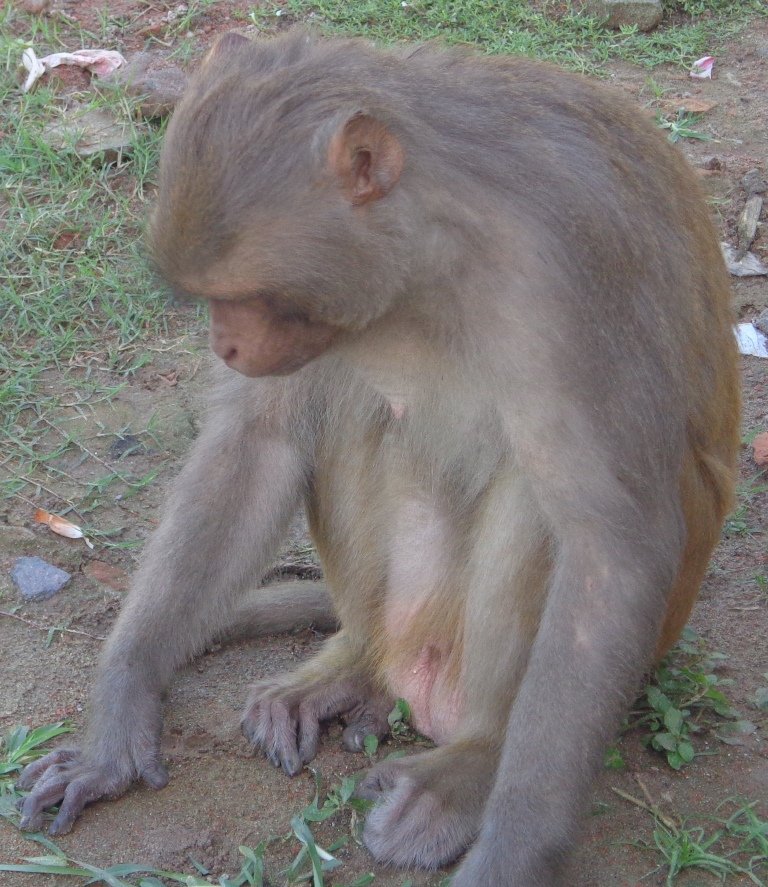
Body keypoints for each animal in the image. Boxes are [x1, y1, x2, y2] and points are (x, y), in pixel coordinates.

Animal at [18, 30, 739, 886]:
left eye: (248, 295)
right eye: (213, 300)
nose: (224, 343)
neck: (435, 251)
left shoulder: (569, 275)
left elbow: (612, 545)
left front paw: (513, 850)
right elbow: (256, 444)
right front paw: (116, 724)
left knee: (541, 503)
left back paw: (475, 757)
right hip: (401, 609)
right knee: (348, 416)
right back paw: (348, 669)